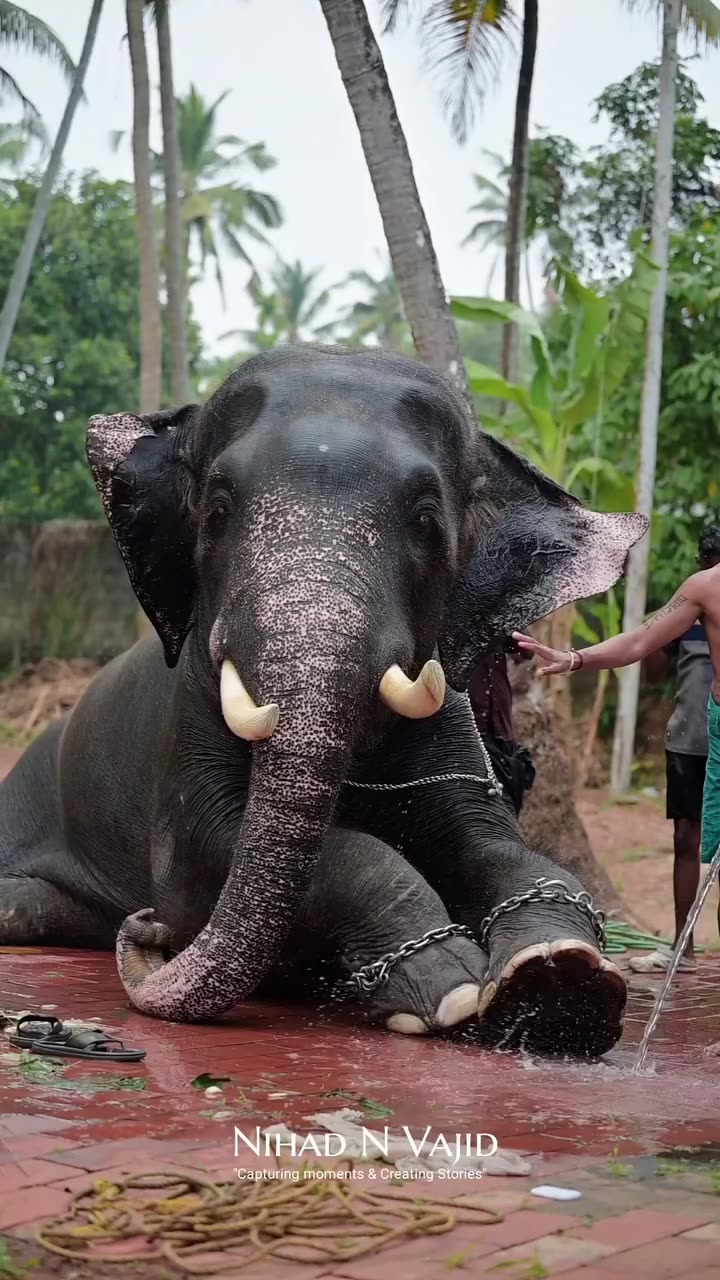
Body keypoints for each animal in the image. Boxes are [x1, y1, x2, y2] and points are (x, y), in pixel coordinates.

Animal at [0, 345, 647, 1055]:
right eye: (218, 509)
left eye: (425, 520)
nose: (147, 934)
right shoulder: (190, 706)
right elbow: (203, 865)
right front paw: (447, 990)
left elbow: (490, 843)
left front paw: (558, 982)